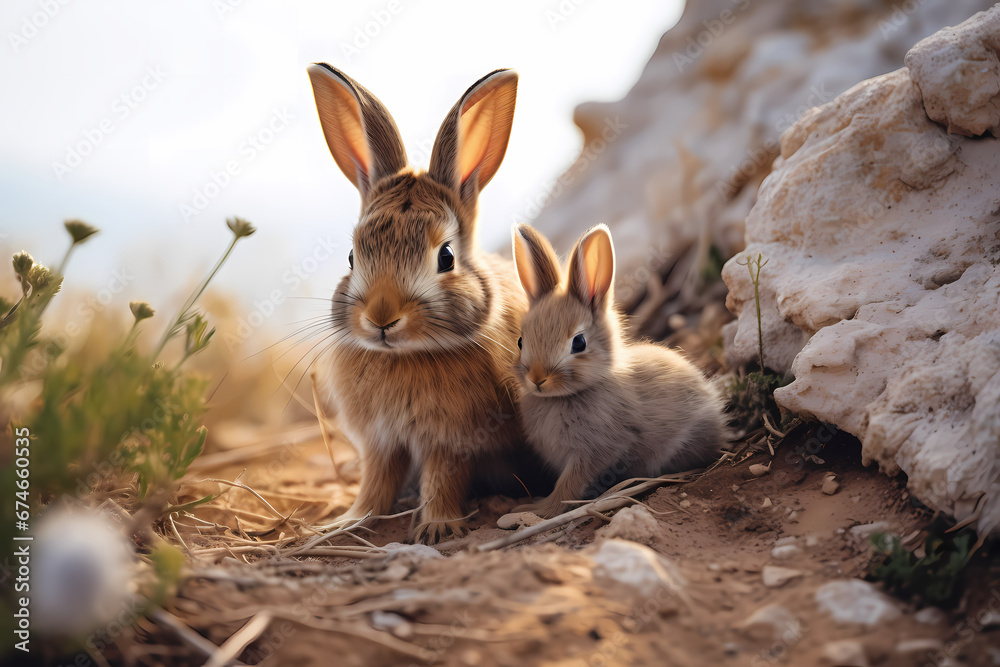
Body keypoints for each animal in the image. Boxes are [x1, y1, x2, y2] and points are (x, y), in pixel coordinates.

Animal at [305, 63, 538, 544]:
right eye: (352, 257)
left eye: (446, 257)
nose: (381, 319)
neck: (405, 357)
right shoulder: (380, 441)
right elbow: (375, 483)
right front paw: (345, 522)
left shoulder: (452, 440)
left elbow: (443, 478)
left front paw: (437, 528)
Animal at [510, 223, 727, 518]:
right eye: (521, 341)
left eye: (579, 342)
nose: (537, 379)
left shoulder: (598, 449)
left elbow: (570, 484)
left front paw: (541, 509)